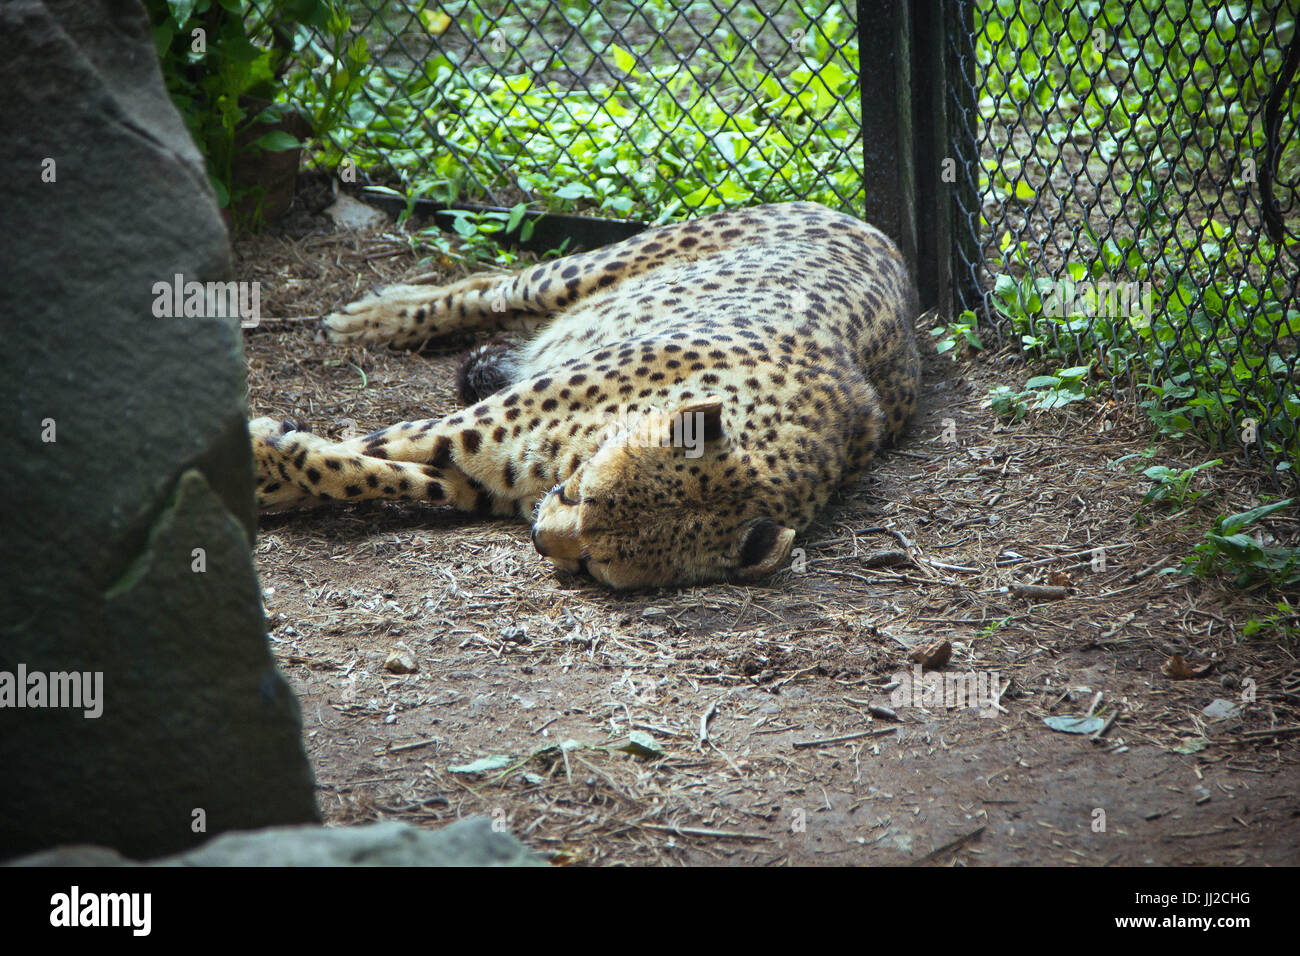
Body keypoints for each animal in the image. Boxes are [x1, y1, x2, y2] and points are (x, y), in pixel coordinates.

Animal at [250, 200, 921, 589]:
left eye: (594, 563)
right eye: (585, 495)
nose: (540, 541)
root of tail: (877, 229)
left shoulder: (479, 480)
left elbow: (370, 473)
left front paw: (279, 473)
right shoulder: (472, 428)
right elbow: (365, 450)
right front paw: (263, 456)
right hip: (583, 270)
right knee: (491, 283)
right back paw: (374, 318)